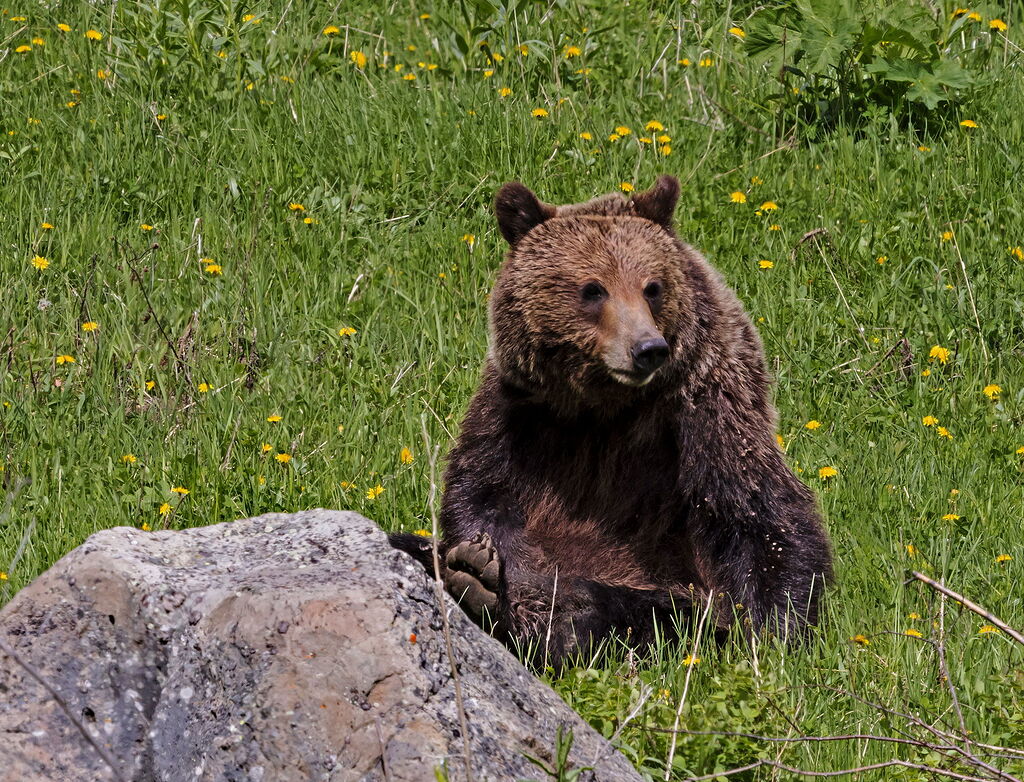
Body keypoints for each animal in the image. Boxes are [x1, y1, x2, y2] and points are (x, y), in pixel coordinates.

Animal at [390, 175, 832, 668]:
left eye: (652, 286)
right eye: (593, 288)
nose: (647, 348)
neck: (604, 404)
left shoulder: (703, 406)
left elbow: (756, 510)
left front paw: (775, 628)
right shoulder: (519, 413)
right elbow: (481, 492)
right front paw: (479, 559)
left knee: (639, 611)